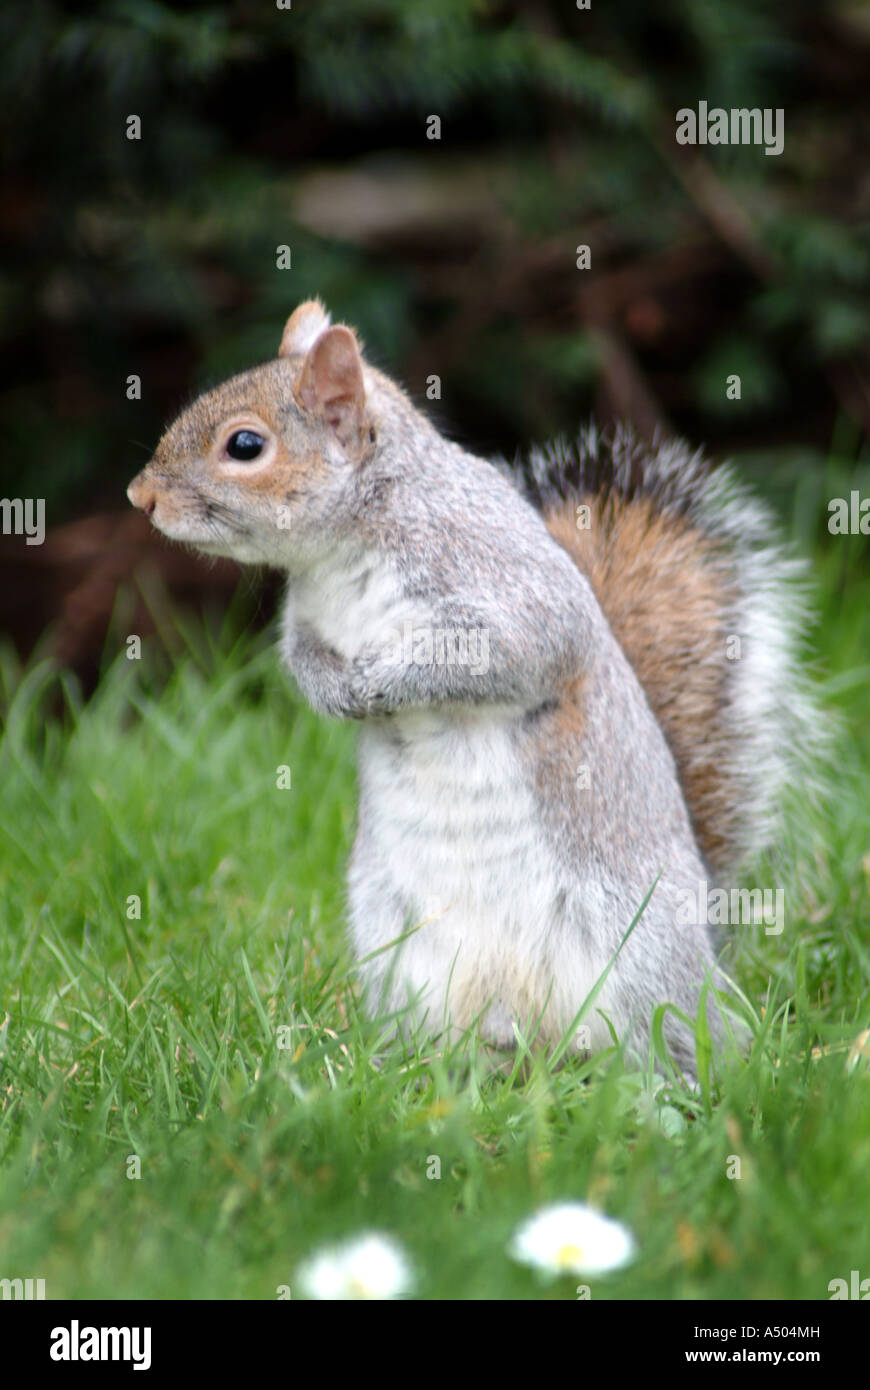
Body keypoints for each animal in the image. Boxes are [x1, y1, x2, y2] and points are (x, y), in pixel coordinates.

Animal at [127, 298, 822, 1072]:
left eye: (245, 445)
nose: (140, 496)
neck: (347, 545)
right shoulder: (304, 619)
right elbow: (304, 658)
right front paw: (334, 689)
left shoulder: (503, 584)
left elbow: (504, 653)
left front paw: (382, 681)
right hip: (394, 938)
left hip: (635, 940)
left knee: (667, 1032)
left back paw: (674, 1075)